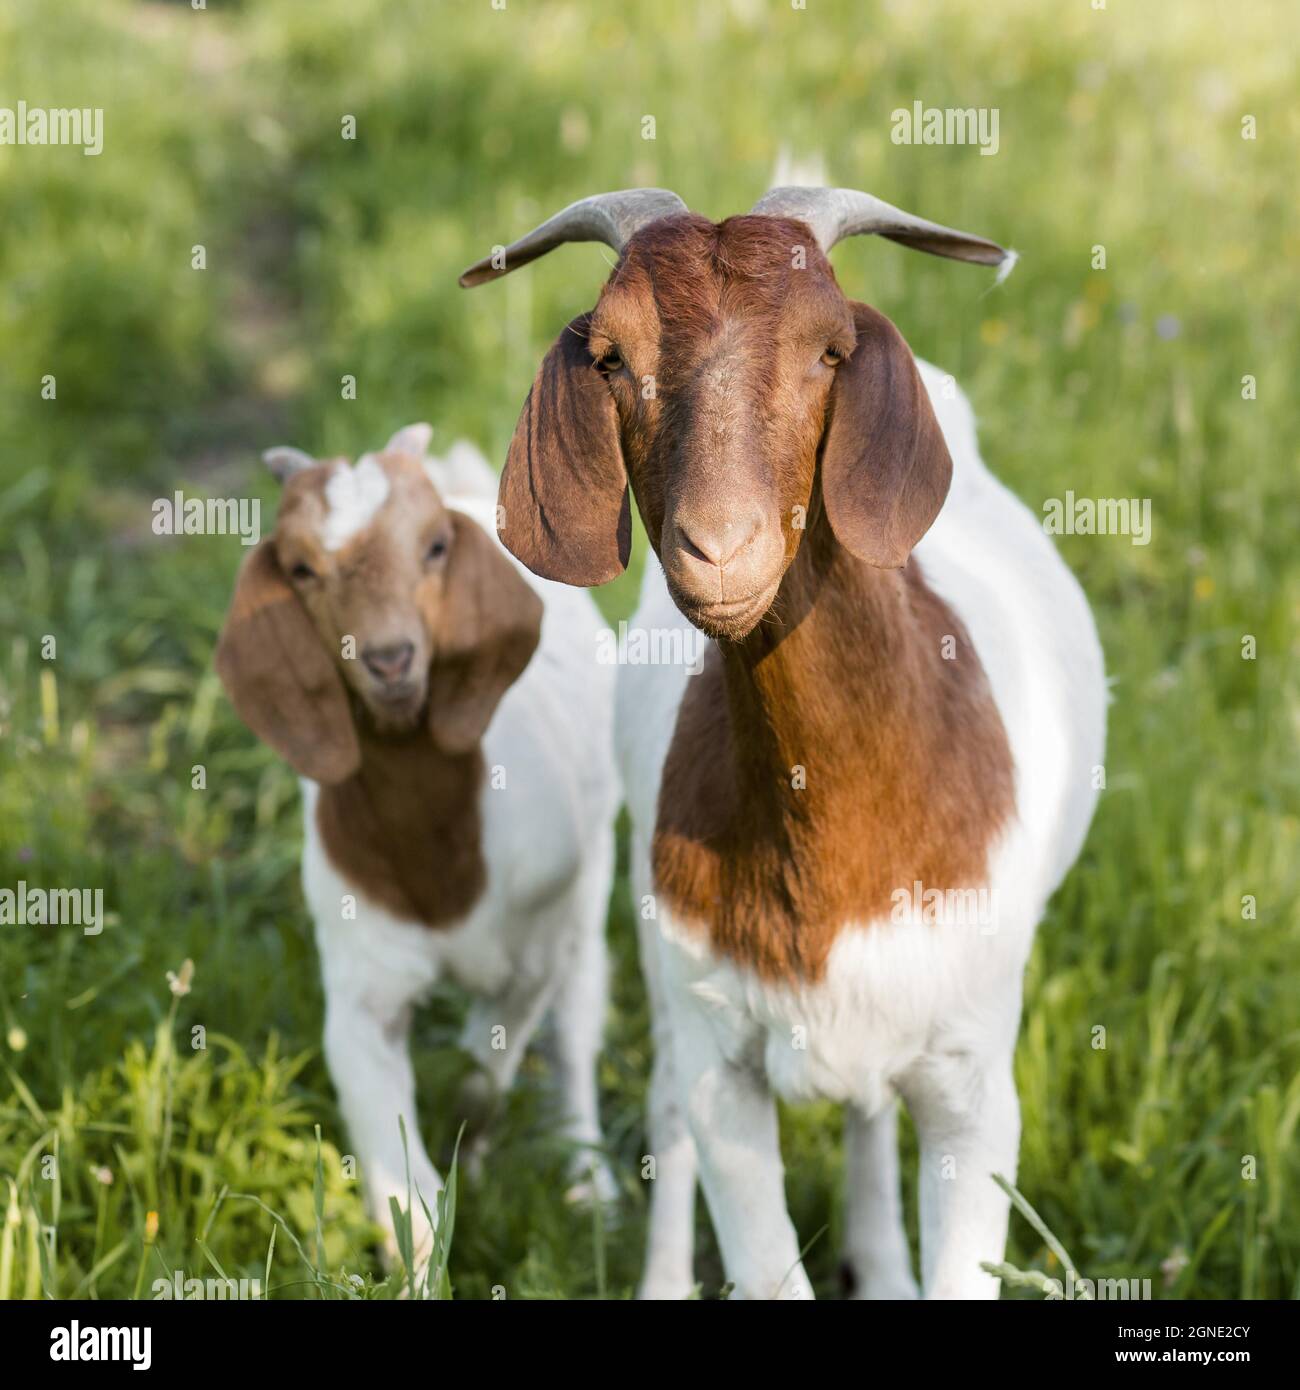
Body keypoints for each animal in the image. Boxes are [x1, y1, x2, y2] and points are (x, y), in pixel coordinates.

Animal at [215, 425, 620, 1261]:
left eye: (434, 546)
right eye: (300, 567)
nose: (390, 659)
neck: (444, 874)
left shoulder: (534, 951)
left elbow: (485, 1070)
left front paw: (475, 1143)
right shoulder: (359, 990)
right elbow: (408, 1190)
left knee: (578, 1021)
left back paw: (590, 1185)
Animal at [461, 187, 1106, 1299]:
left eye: (829, 350)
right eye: (612, 356)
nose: (719, 547)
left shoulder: (973, 1074)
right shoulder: (721, 1049)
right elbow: (756, 1249)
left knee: (866, 1110)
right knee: (670, 1109)